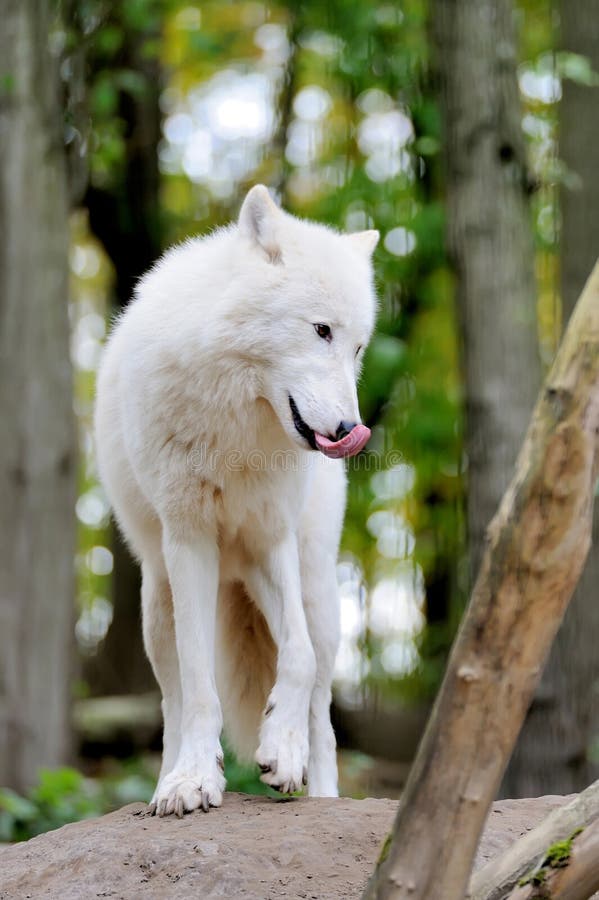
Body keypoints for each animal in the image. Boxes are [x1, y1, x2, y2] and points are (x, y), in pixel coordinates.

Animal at [94, 185, 378, 816]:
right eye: (321, 330)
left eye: (357, 348)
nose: (351, 429)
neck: (239, 428)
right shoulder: (190, 540)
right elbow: (200, 687)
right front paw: (195, 780)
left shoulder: (271, 538)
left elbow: (297, 657)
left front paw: (282, 752)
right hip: (158, 606)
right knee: (172, 703)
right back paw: (165, 782)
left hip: (320, 595)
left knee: (323, 711)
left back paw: (322, 793)